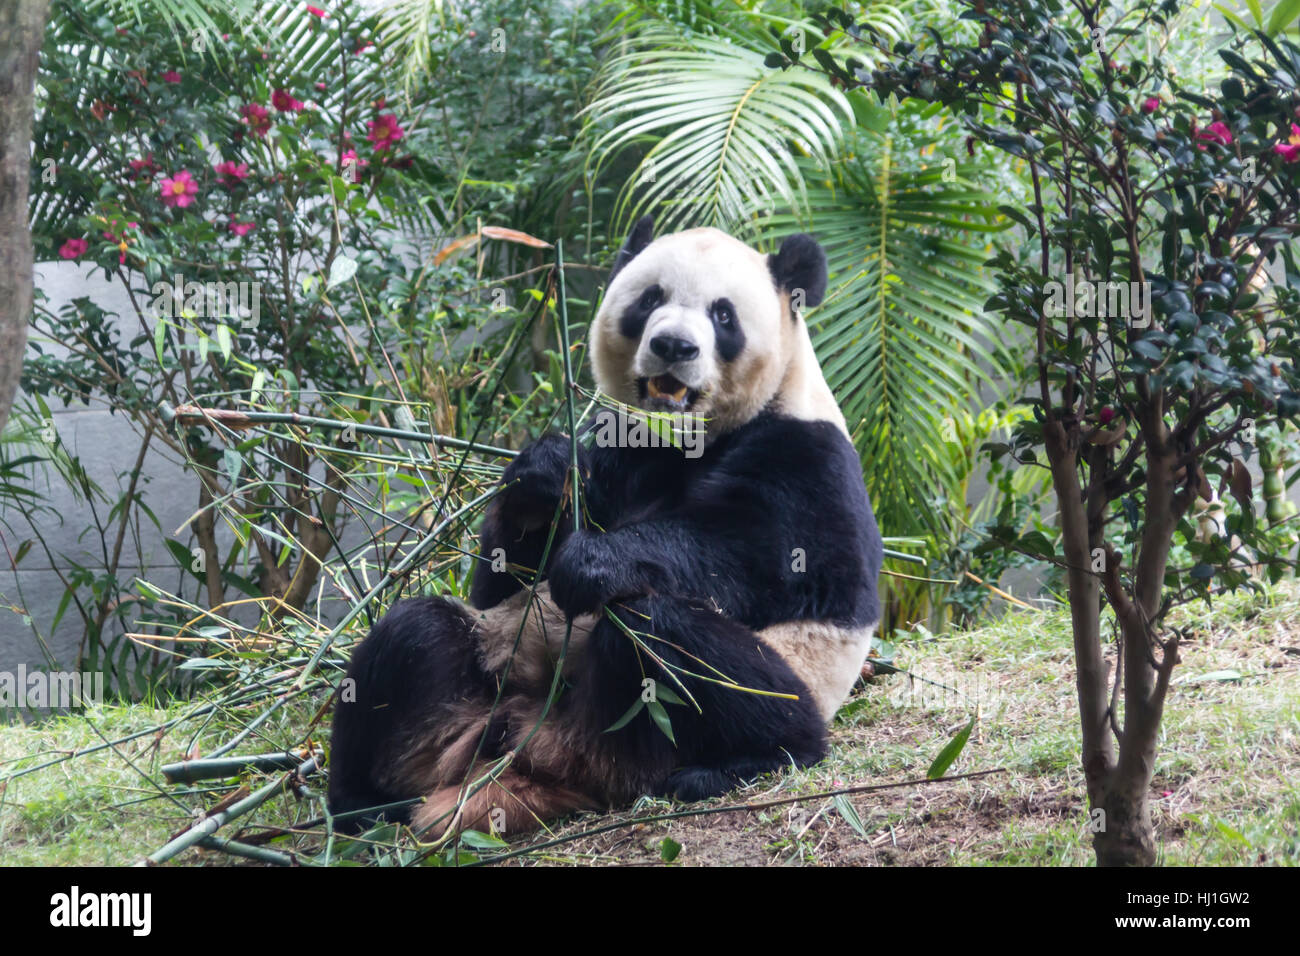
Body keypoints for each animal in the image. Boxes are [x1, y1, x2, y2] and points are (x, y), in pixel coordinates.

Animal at [327, 217, 883, 836]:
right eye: (650, 300)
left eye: (723, 315)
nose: (674, 346)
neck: (681, 438)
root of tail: (548, 755)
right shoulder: (617, 449)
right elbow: (500, 583)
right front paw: (543, 477)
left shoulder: (805, 451)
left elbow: (784, 566)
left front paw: (592, 564)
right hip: (486, 690)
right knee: (413, 636)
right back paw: (365, 804)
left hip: (739, 696)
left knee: (671, 637)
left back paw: (741, 760)